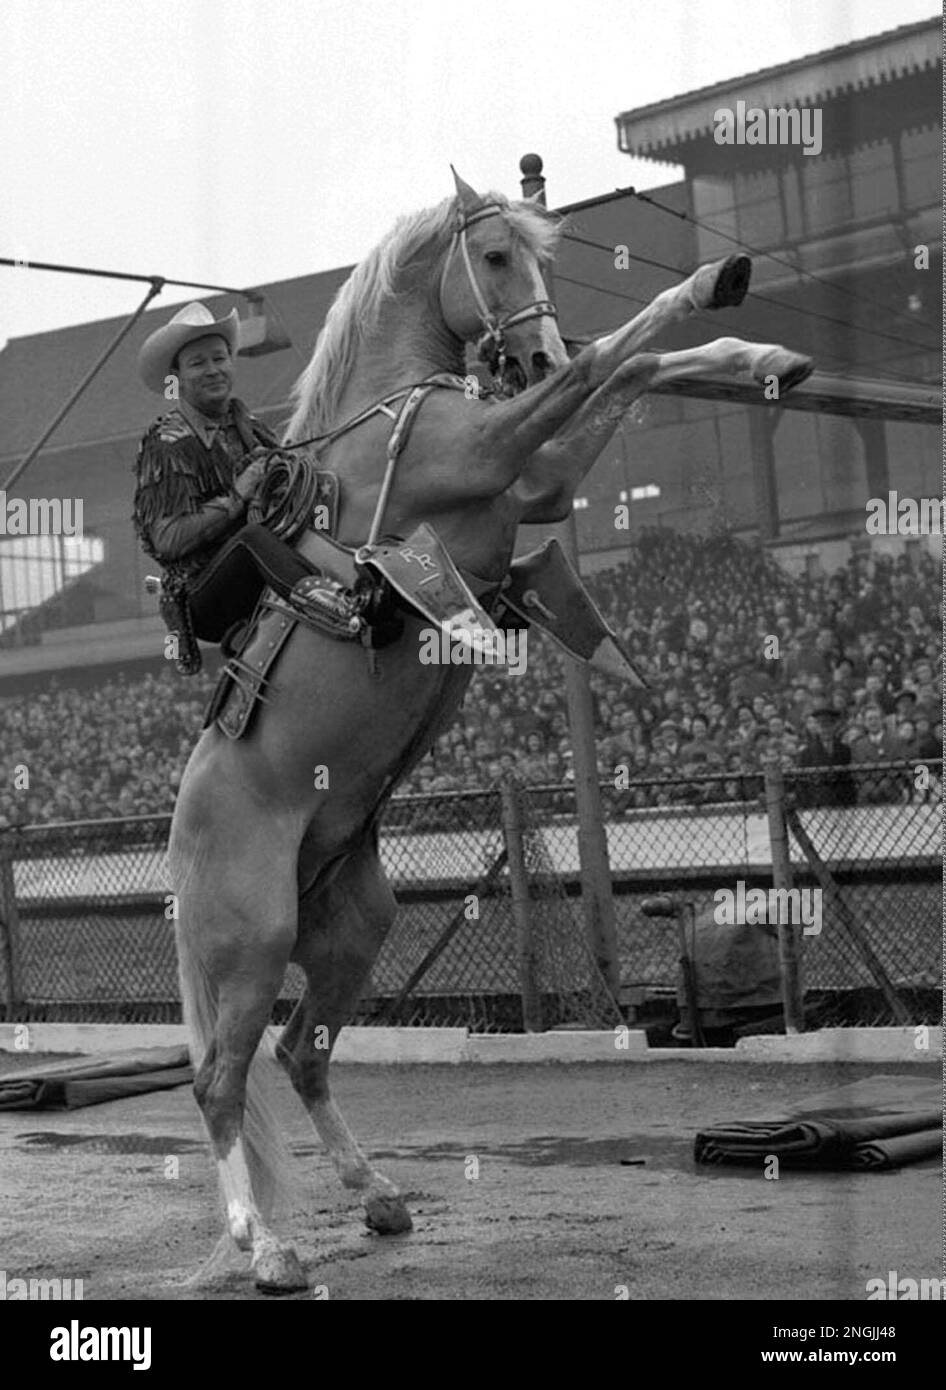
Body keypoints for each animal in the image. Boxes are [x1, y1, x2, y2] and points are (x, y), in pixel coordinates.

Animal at [169, 168, 812, 1291]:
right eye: (498, 257)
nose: (534, 355)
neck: (380, 420)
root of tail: (178, 837)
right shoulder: (491, 451)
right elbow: (616, 356)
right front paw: (707, 287)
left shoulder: (535, 480)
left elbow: (629, 365)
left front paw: (761, 355)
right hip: (251, 940)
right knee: (220, 1080)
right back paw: (267, 1245)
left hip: (351, 926)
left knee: (300, 1053)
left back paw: (378, 1197)